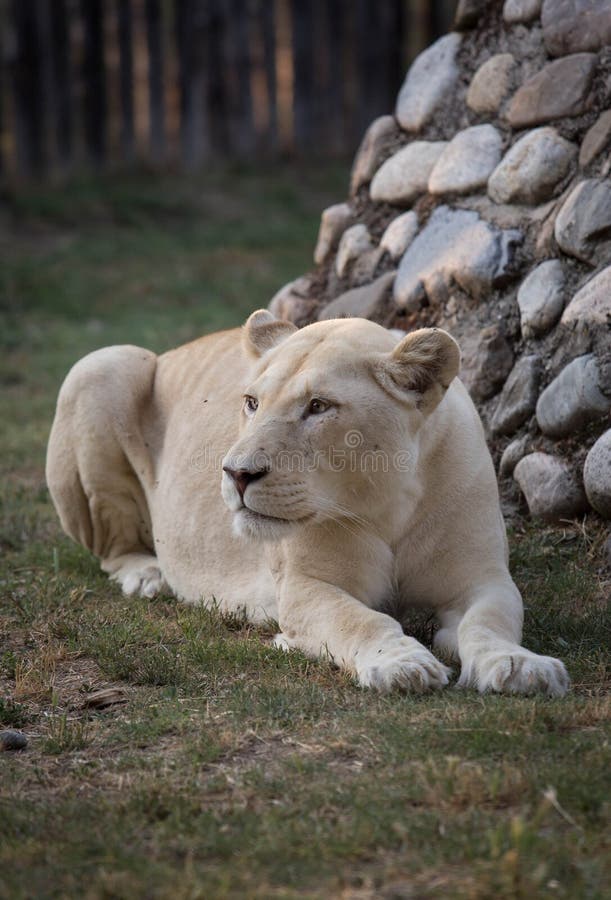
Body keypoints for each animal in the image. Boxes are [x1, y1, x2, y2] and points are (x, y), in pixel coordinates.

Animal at [46, 311, 569, 696]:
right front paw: (401, 665)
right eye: (252, 402)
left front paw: (519, 666)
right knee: (112, 547)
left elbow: (489, 622)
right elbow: (362, 620)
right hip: (102, 364)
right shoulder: (303, 587)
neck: (390, 507)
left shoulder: (481, 578)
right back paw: (146, 576)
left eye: (318, 407)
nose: (236, 473)